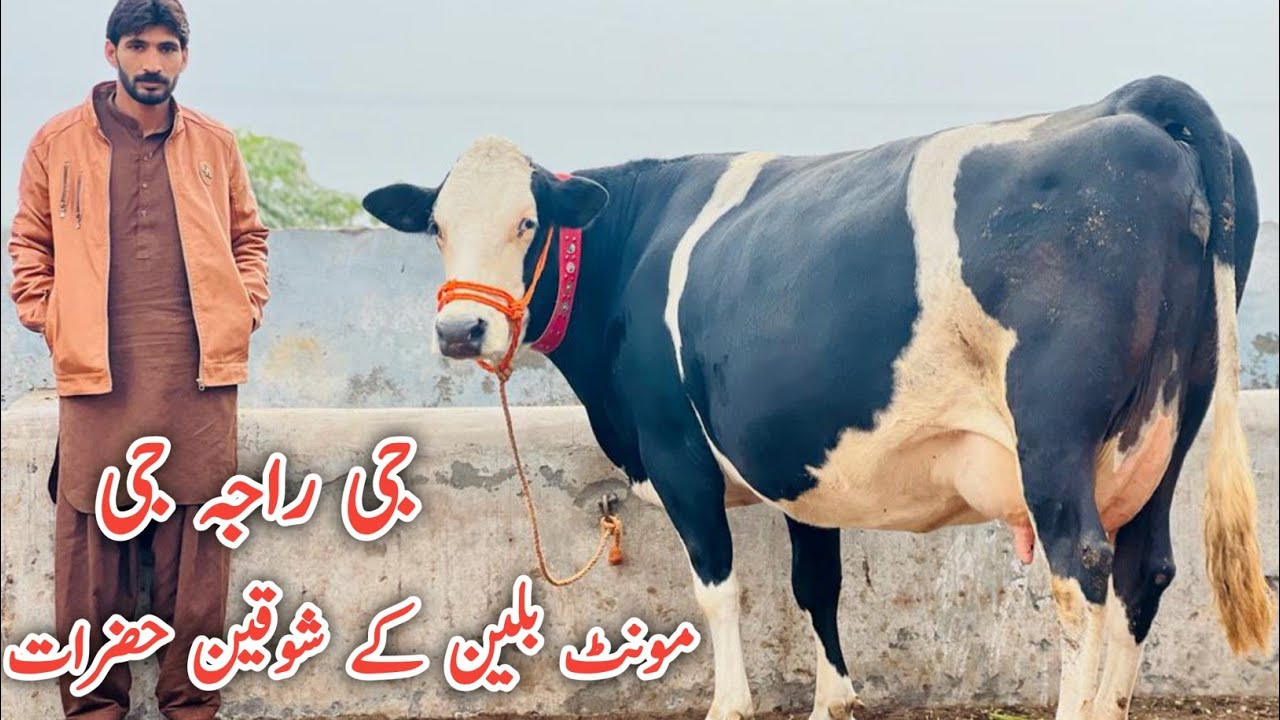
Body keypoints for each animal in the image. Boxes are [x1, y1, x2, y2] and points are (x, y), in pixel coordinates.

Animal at [361, 75, 1274, 719]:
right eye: (437, 226)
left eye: (527, 222)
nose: (462, 330)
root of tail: (1134, 105)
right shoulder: (801, 462)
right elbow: (816, 582)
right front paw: (834, 699)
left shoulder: (677, 451)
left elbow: (719, 587)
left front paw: (729, 706)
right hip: (1170, 424)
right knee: (1144, 568)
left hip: (1055, 438)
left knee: (1079, 572)